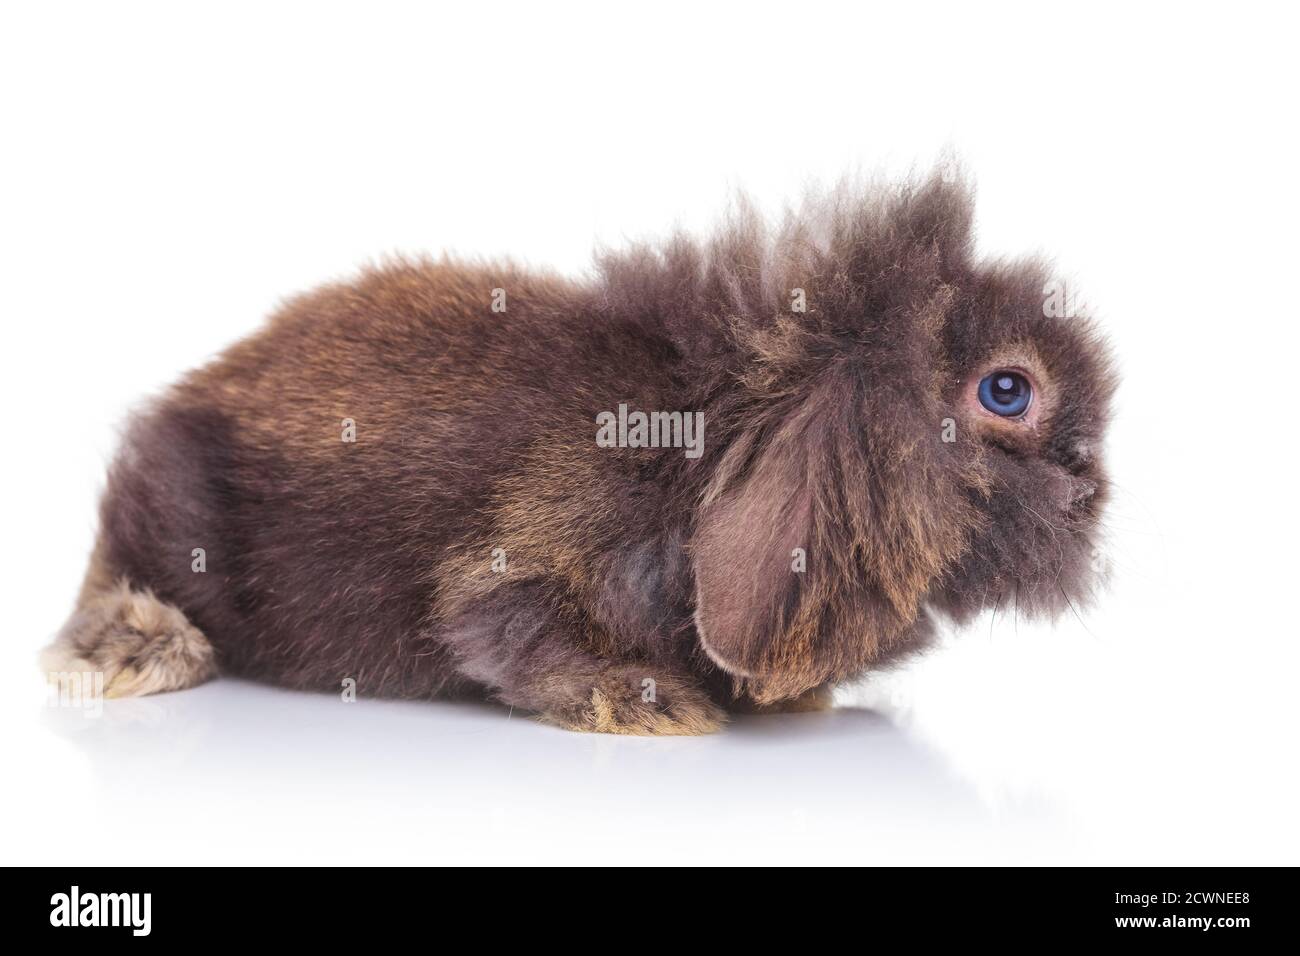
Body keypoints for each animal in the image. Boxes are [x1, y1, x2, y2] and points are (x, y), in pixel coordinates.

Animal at [42, 169, 1116, 735]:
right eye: (1007, 391)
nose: (1090, 483)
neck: (726, 427)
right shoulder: (533, 555)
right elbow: (502, 633)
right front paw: (656, 708)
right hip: (170, 503)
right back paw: (134, 649)